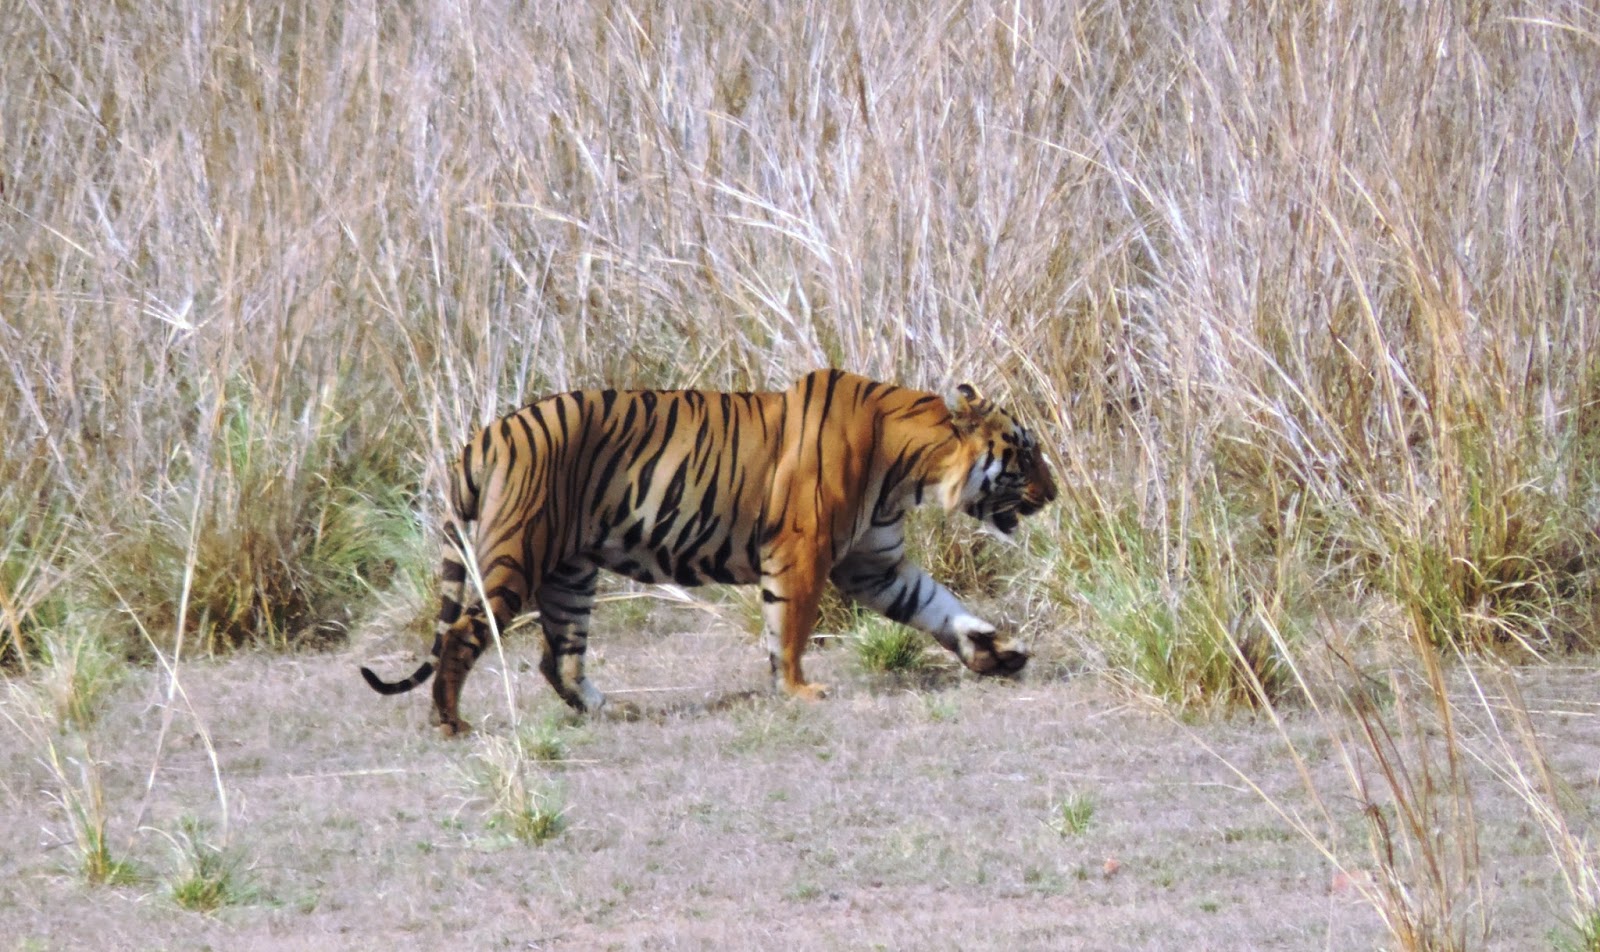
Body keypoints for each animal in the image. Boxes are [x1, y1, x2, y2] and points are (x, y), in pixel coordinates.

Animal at [361, 369, 1057, 735]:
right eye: (1024, 456)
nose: (1053, 494)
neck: (911, 466)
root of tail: (484, 436)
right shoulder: (803, 552)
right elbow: (790, 627)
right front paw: (799, 689)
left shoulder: (877, 564)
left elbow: (940, 607)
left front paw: (998, 655)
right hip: (517, 554)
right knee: (463, 635)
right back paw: (449, 722)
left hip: (570, 572)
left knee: (558, 657)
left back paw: (608, 710)